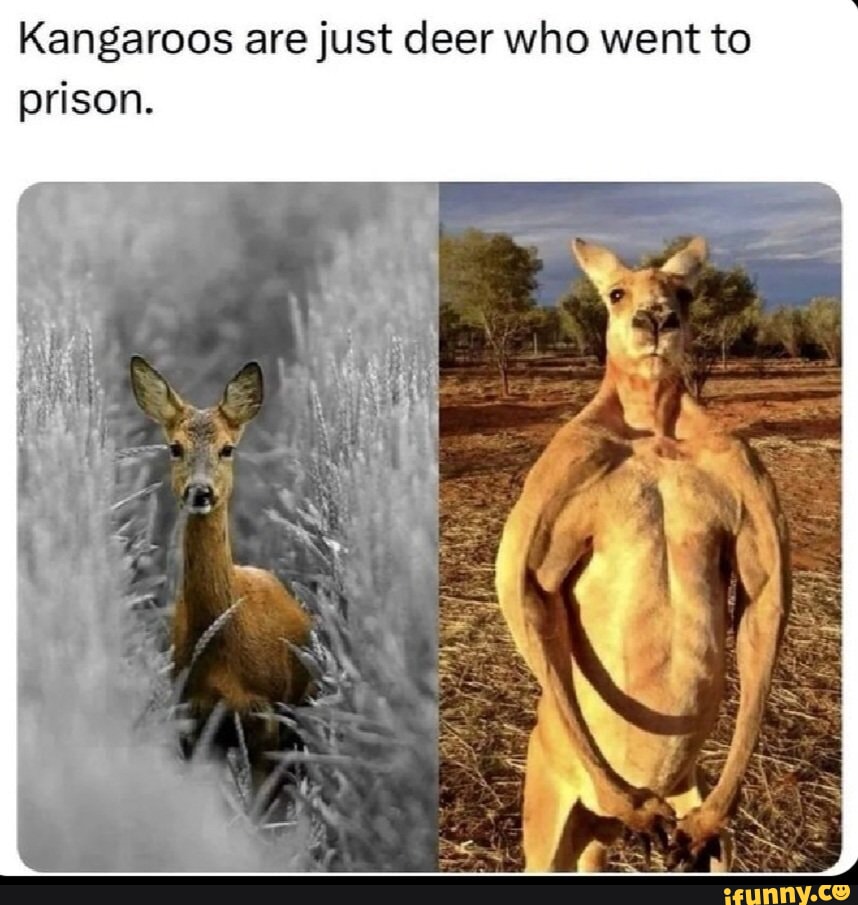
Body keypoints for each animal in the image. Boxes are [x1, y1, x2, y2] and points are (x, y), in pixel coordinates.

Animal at [496, 236, 791, 872]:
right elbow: (525, 586)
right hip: (549, 811)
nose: (655, 319)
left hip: (677, 815)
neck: (655, 426)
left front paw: (714, 815)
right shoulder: (565, 465)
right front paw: (630, 801)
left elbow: (764, 596)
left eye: (685, 293)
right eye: (615, 293)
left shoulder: (743, 467)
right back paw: (632, 806)